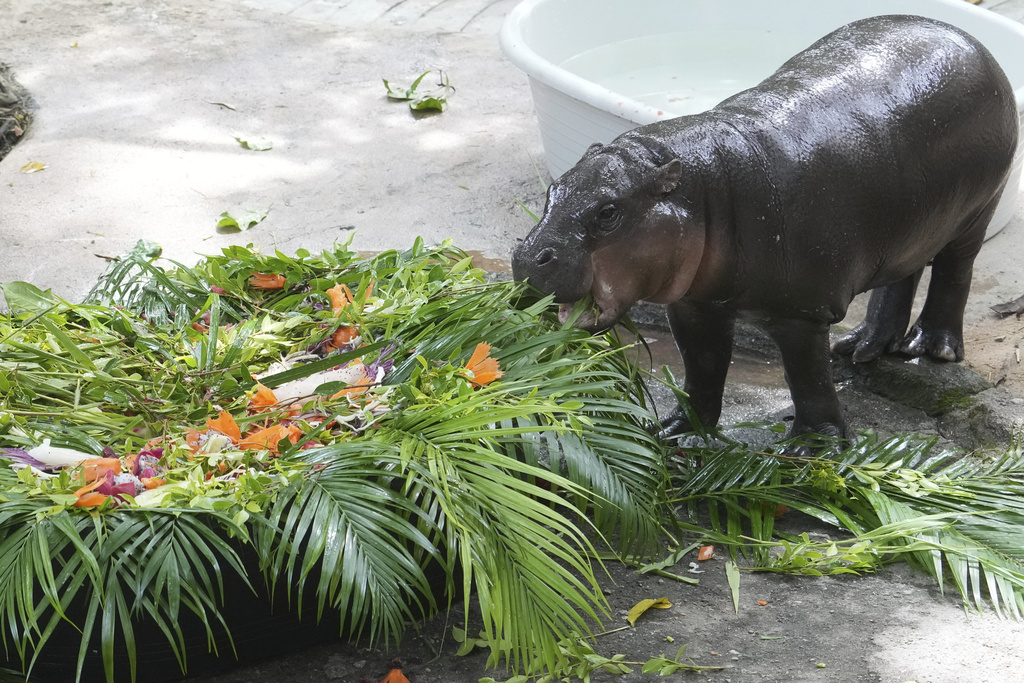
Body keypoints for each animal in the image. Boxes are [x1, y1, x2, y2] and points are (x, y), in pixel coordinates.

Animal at [511, 15, 1019, 442]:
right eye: (553, 190)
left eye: (608, 212)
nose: (528, 257)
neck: (705, 187)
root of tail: (966, 37)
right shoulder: (694, 304)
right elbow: (703, 368)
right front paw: (677, 430)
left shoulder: (801, 314)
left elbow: (808, 379)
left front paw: (814, 448)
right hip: (911, 225)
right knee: (902, 275)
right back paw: (861, 348)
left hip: (977, 211)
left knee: (954, 272)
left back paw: (932, 349)